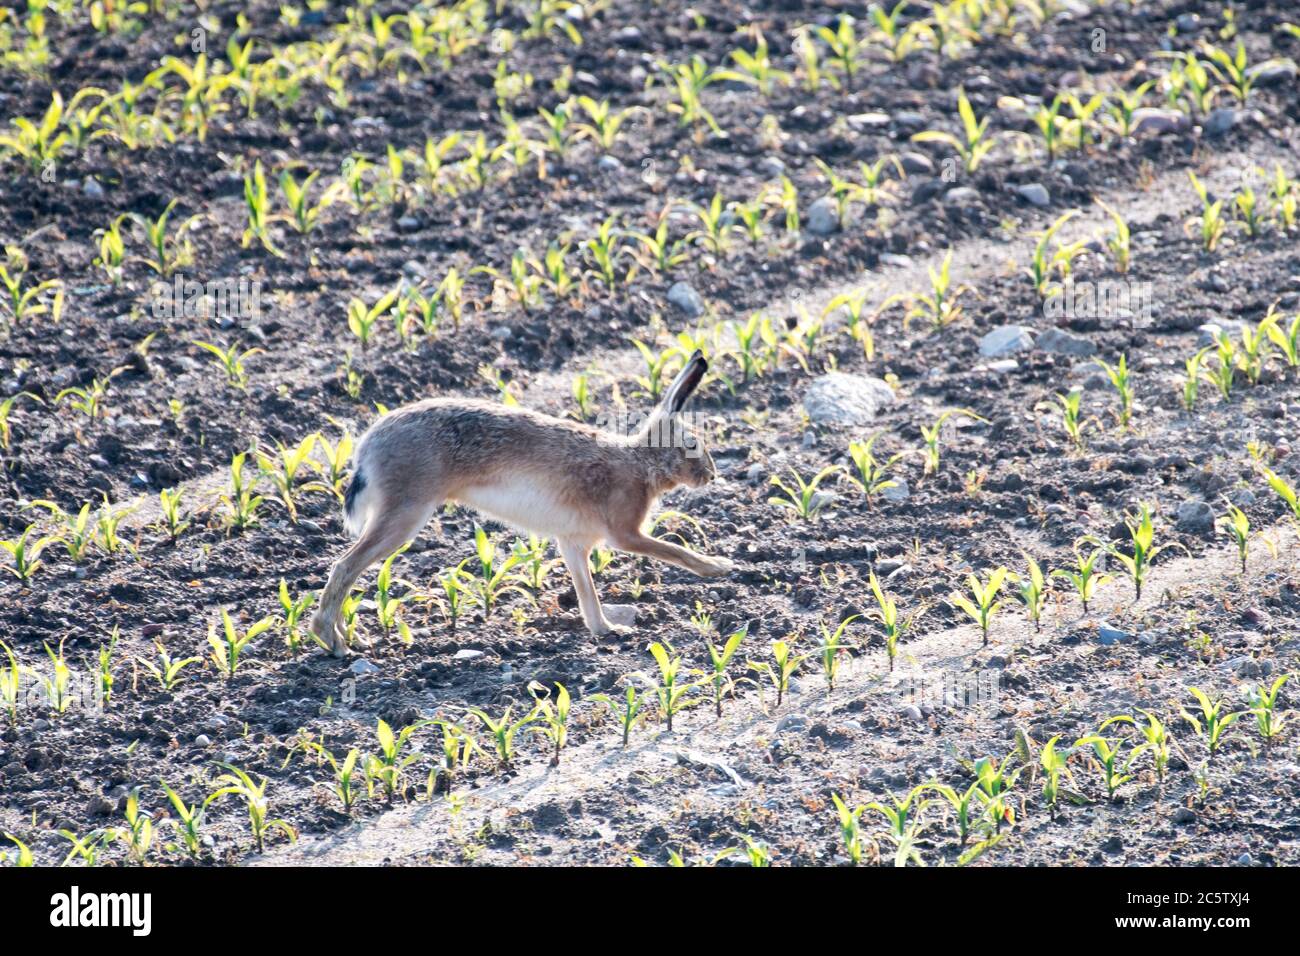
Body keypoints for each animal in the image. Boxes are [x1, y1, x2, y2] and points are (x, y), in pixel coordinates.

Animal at [310, 350, 733, 657]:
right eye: (692, 444)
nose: (711, 475)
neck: (643, 461)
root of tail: (368, 446)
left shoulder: (573, 542)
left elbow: (586, 591)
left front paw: (605, 630)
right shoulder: (625, 533)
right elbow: (672, 550)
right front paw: (718, 567)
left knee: (349, 568)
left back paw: (347, 637)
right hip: (406, 510)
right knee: (345, 565)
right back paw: (334, 642)